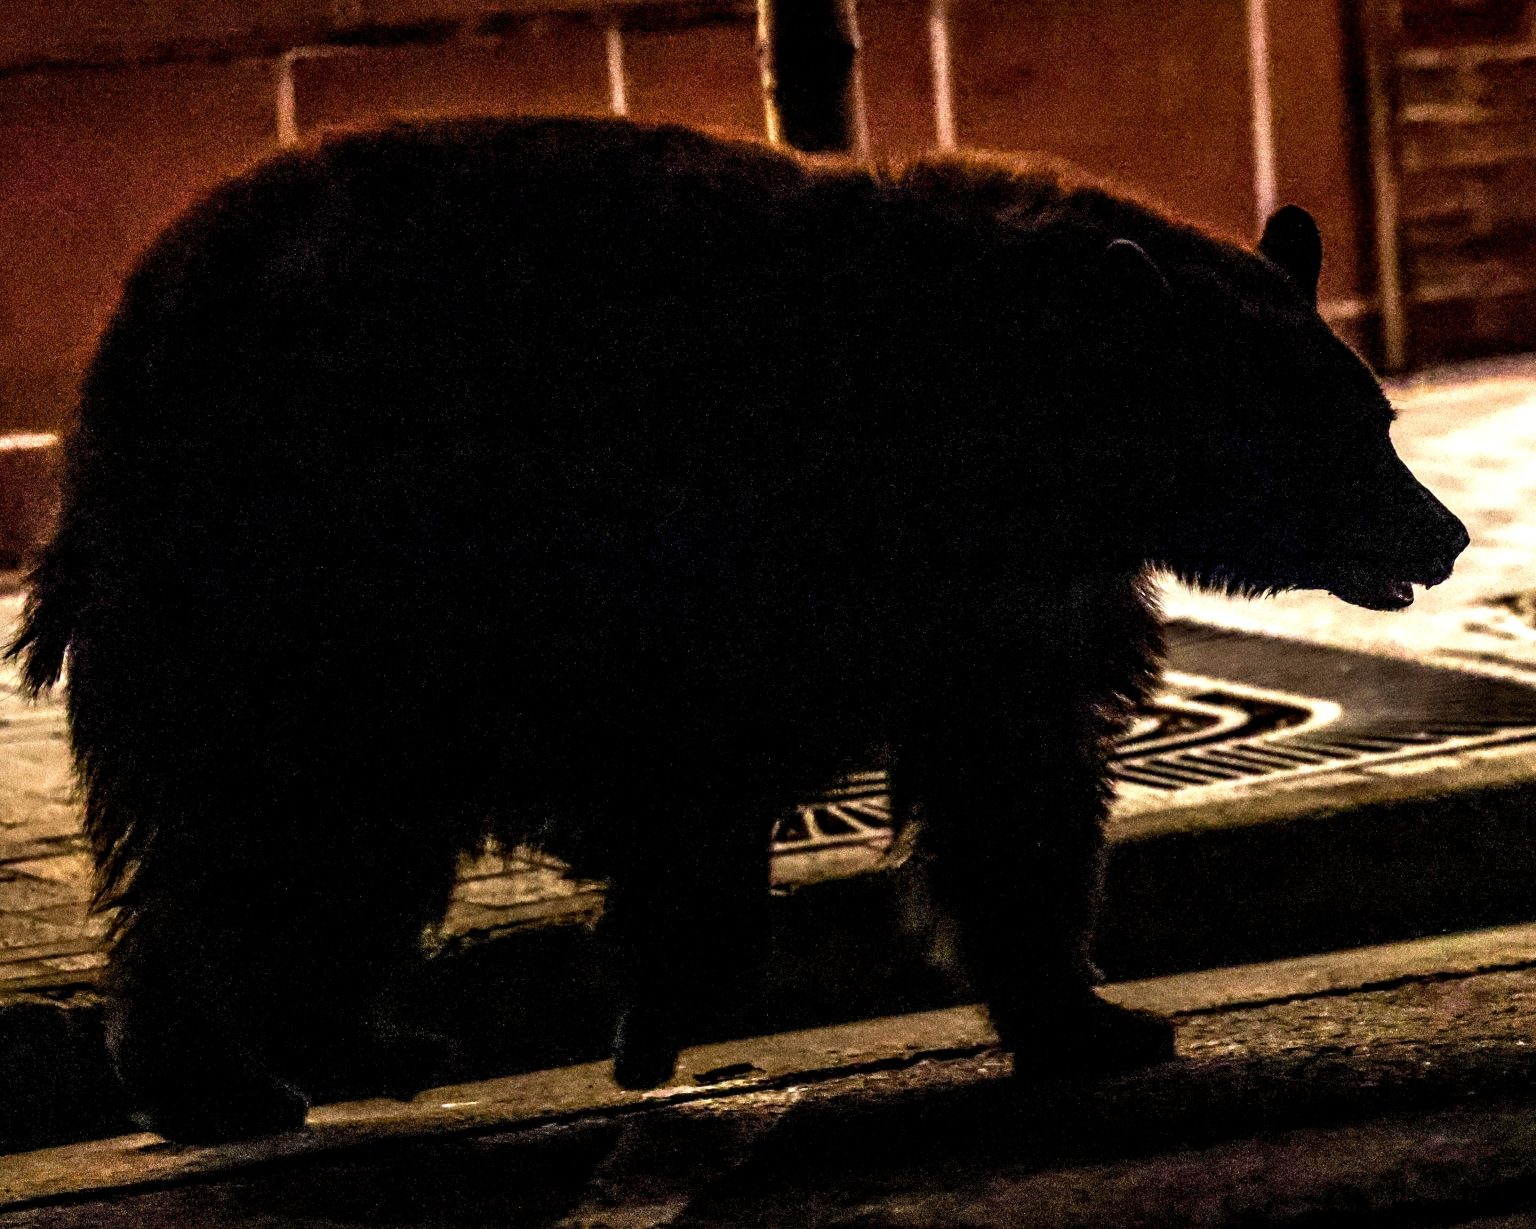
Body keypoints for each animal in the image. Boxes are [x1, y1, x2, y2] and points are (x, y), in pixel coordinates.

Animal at [8, 115, 1467, 1144]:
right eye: (1341, 432)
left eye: (1377, 417)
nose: (1445, 535)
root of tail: (123, 337)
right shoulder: (722, 556)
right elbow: (704, 776)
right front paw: (661, 1011)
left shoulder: (1007, 600)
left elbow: (1017, 790)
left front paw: (1086, 1015)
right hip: (290, 578)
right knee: (239, 827)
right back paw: (216, 1083)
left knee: (343, 838)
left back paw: (355, 1043)